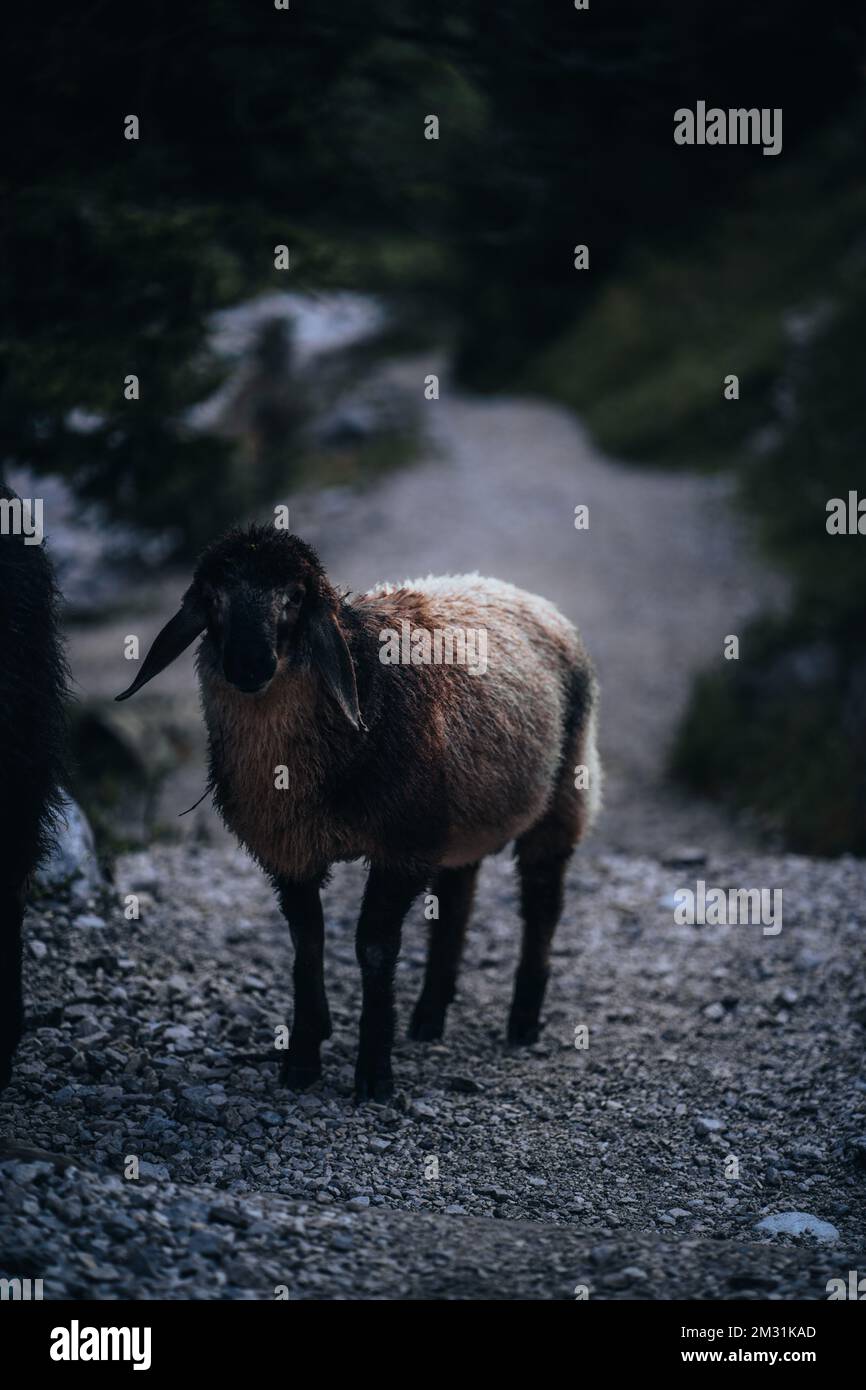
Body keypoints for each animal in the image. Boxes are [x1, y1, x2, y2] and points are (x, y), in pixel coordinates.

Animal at [117, 525, 601, 1101]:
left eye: (294, 597)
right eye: (212, 599)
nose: (249, 667)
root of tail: (520, 592)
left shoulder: (402, 848)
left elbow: (373, 949)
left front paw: (373, 1071)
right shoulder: (290, 850)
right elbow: (307, 945)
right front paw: (304, 1056)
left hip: (562, 793)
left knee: (542, 904)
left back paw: (523, 1020)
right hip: (460, 814)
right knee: (456, 904)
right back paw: (429, 1015)